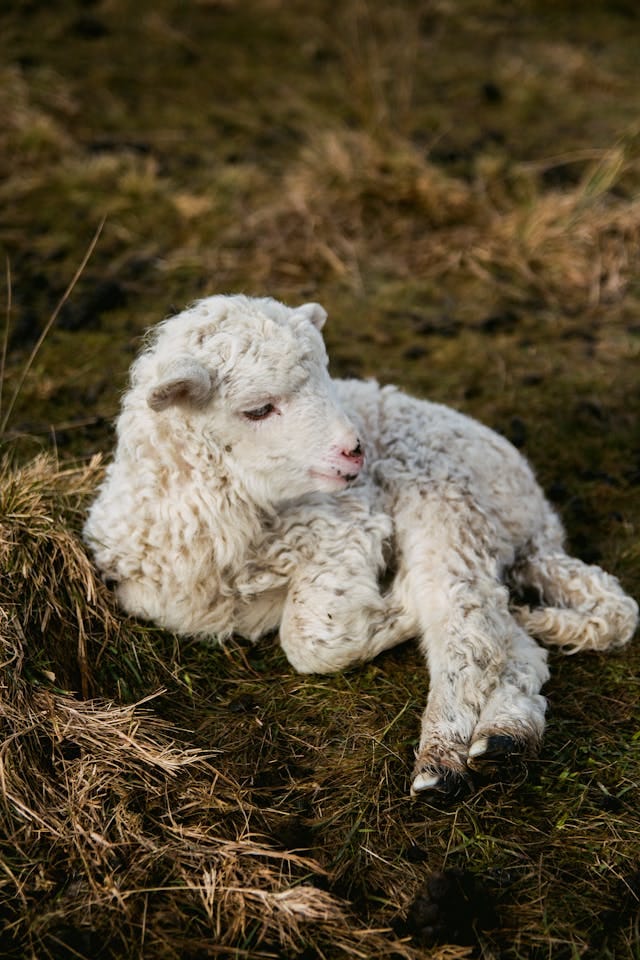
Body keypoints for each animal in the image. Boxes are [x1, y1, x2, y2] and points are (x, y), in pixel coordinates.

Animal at [84, 294, 639, 797]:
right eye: (258, 409)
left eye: (327, 378)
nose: (355, 450)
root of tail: (538, 523)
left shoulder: (347, 525)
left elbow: (310, 640)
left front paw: (399, 603)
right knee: (511, 641)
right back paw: (506, 737)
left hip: (447, 497)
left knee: (465, 624)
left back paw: (442, 761)